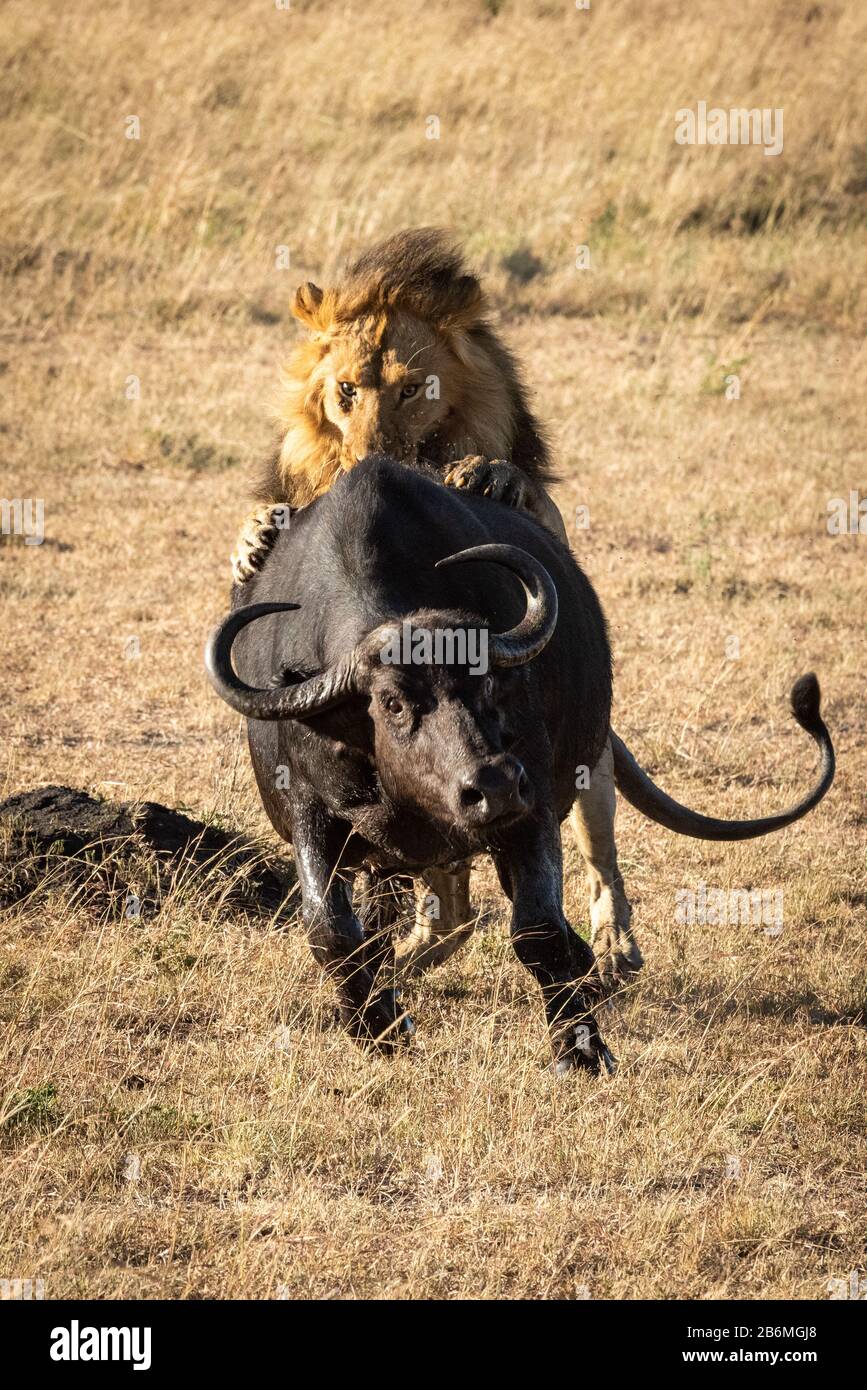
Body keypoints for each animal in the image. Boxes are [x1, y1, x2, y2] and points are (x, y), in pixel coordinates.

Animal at [230, 228, 638, 985]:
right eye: (346, 391)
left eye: (414, 389)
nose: (371, 454)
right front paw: (255, 538)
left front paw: (485, 475)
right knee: (448, 894)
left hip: (588, 755)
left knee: (595, 847)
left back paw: (615, 946)